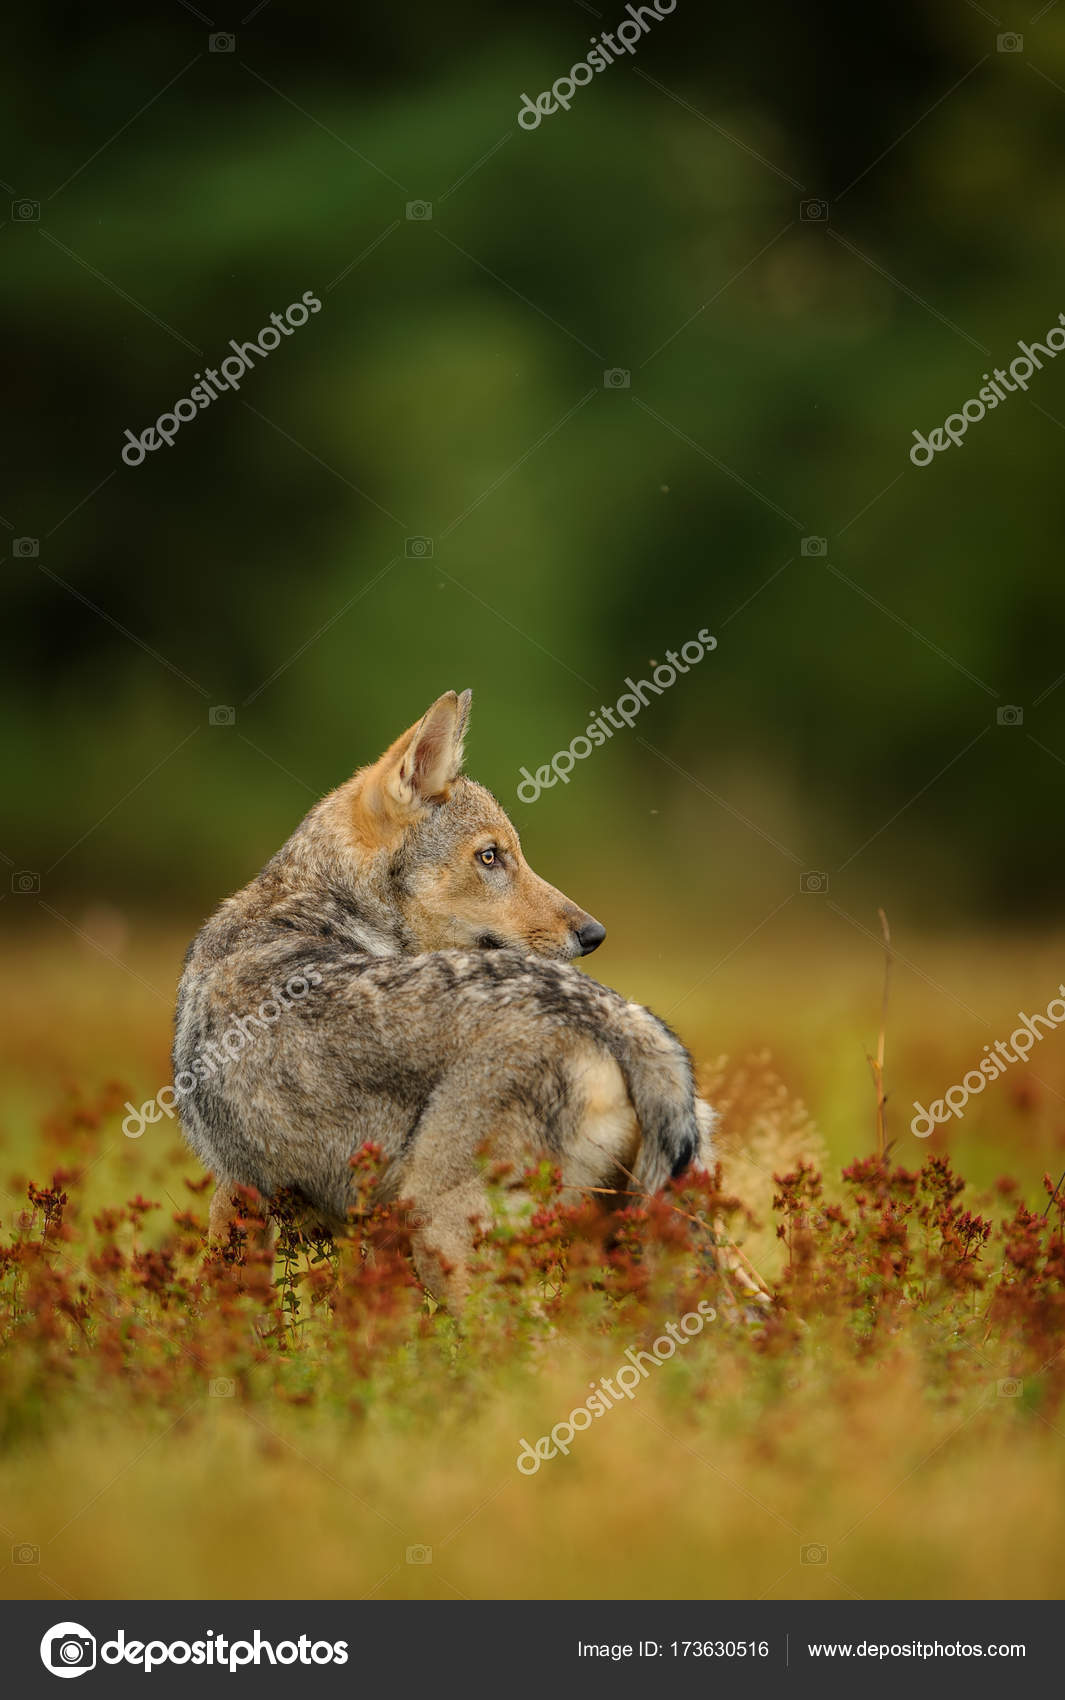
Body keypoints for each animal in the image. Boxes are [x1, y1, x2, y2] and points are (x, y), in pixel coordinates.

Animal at [173, 689, 715, 1309]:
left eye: (507, 855)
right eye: (491, 857)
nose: (594, 934)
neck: (308, 909)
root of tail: (613, 1015)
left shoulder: (237, 1190)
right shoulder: (359, 1232)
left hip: (445, 1239)